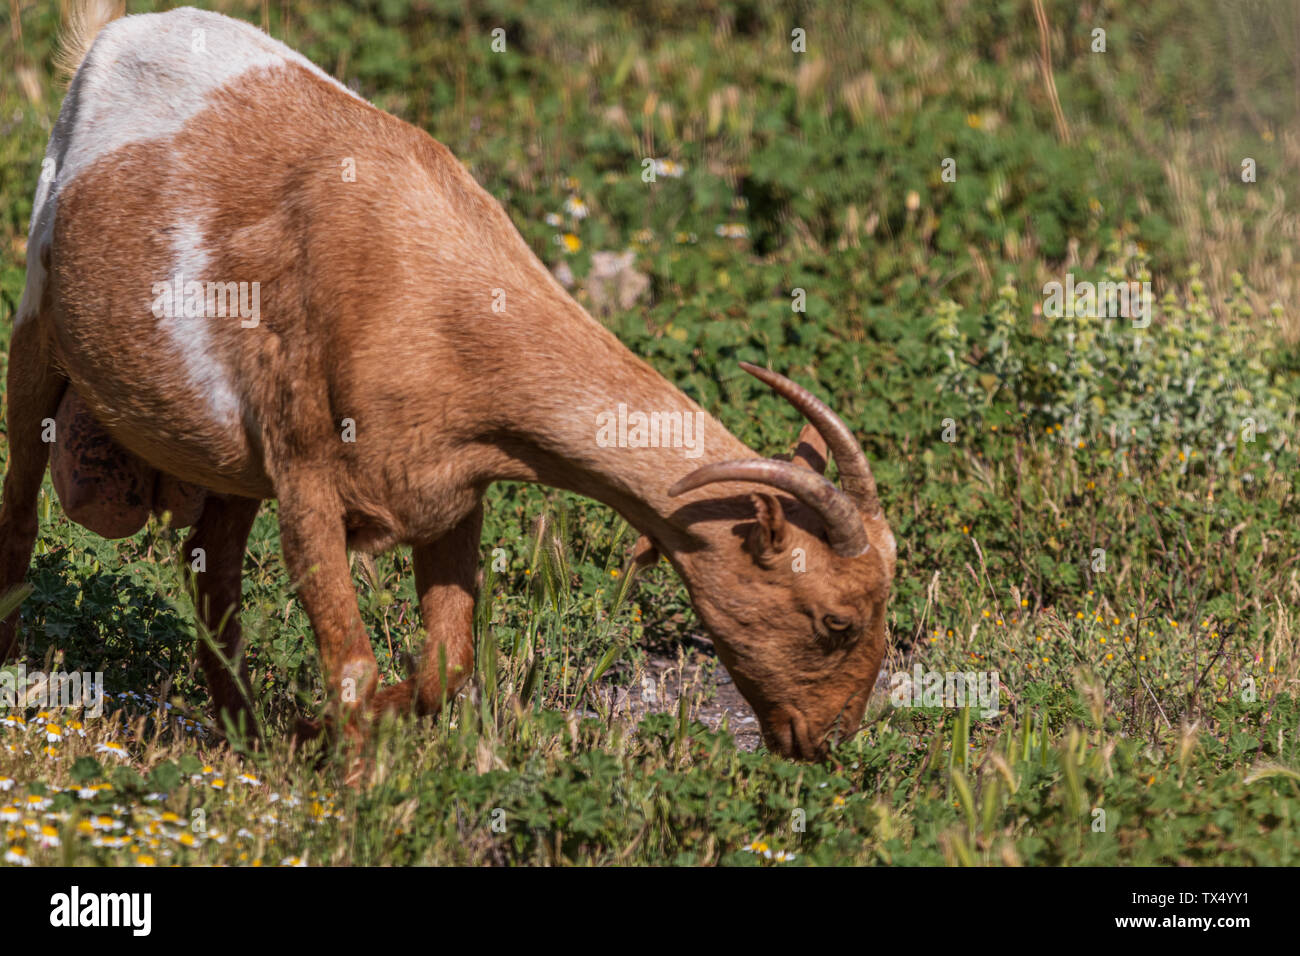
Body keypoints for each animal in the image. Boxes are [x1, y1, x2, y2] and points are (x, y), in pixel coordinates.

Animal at [0, 3, 896, 764]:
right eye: (838, 621)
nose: (825, 742)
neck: (431, 297)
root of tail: (117, 33)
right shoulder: (305, 475)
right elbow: (354, 665)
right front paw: (350, 782)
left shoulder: (451, 494)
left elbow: (447, 666)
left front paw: (312, 731)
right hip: (38, 332)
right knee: (20, 509)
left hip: (229, 469)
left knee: (210, 576)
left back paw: (245, 731)